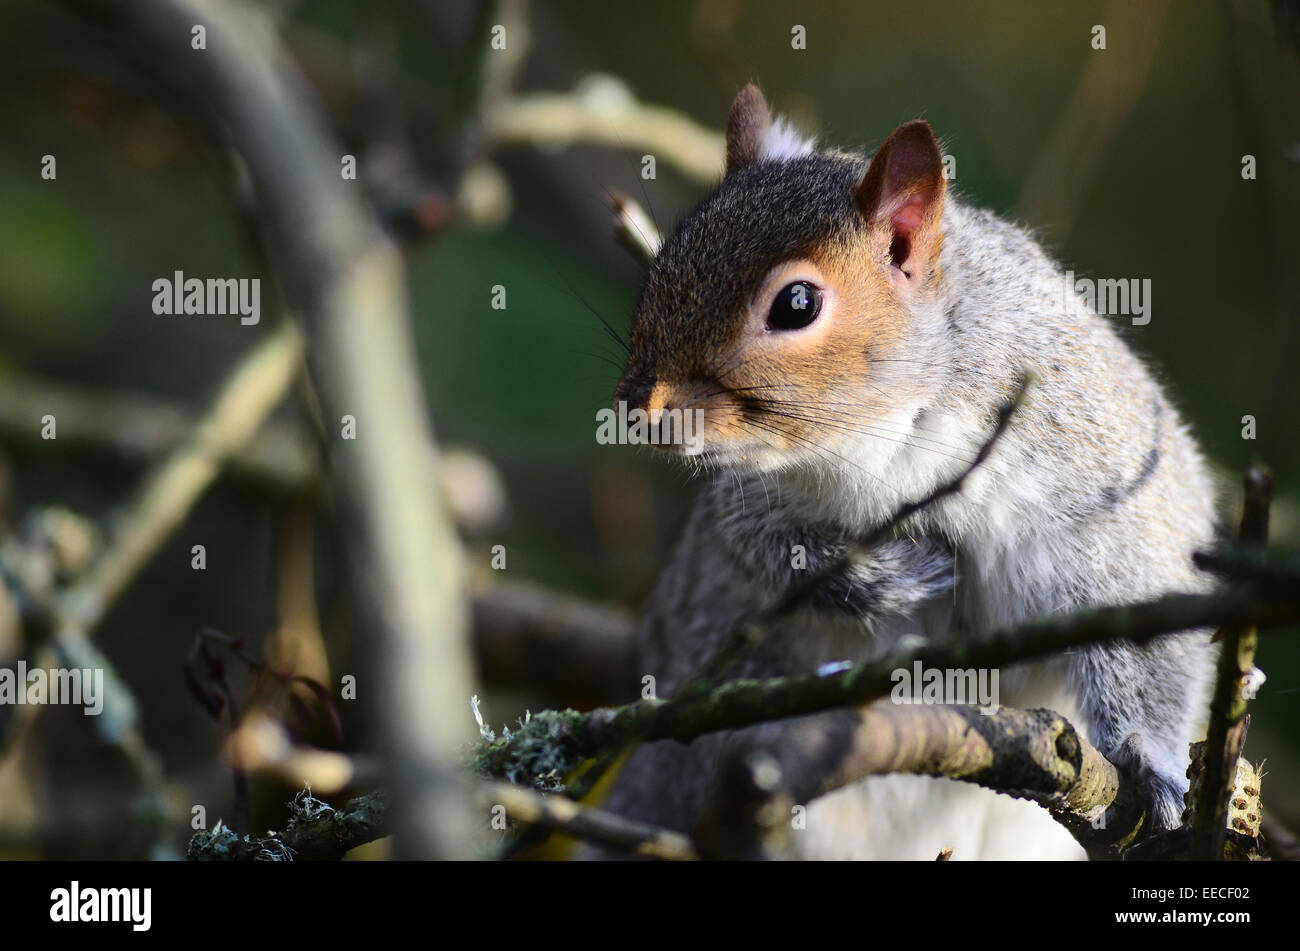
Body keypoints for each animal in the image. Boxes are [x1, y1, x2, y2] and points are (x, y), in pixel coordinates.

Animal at [592, 84, 1219, 860]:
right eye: (661, 268)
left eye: (796, 304)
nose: (638, 409)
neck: (889, 432)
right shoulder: (750, 502)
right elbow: (765, 552)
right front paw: (894, 578)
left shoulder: (1106, 479)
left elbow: (1147, 609)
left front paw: (1150, 759)